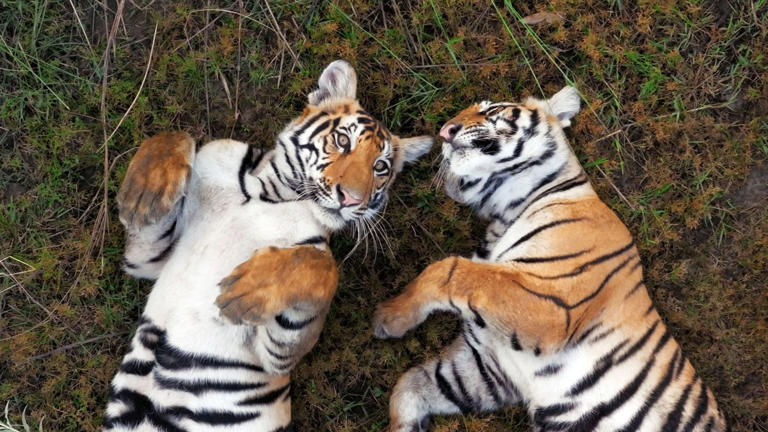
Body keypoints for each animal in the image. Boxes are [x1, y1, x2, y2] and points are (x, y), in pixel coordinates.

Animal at [104, 60, 433, 432]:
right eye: (342, 140)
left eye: (381, 167)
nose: (351, 199)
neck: (272, 197)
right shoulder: (149, 260)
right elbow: (178, 135)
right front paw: (144, 196)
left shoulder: (276, 358)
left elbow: (320, 265)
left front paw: (247, 290)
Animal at [372, 86, 728, 432]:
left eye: (491, 109)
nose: (445, 131)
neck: (505, 209)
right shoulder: (489, 365)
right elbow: (411, 384)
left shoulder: (553, 304)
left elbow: (451, 269)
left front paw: (390, 315)